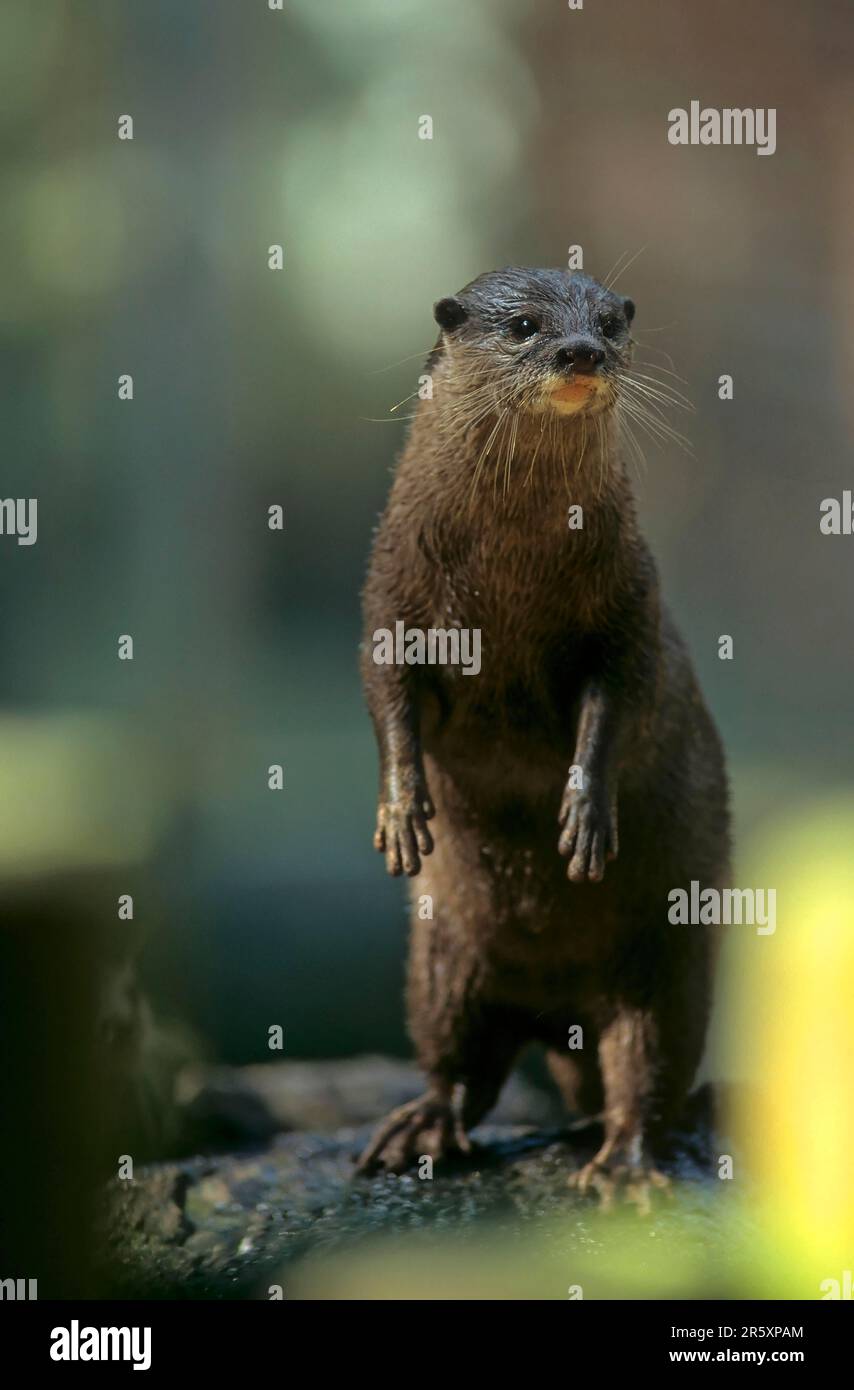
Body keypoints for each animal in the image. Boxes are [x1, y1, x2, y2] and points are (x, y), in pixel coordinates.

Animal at [357, 268, 730, 1203]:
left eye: (609, 322)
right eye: (525, 325)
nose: (581, 352)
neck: (505, 580)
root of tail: (558, 1015)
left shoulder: (628, 607)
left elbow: (617, 702)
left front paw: (584, 815)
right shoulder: (391, 592)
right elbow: (387, 697)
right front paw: (402, 811)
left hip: (667, 965)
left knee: (648, 1071)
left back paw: (625, 1165)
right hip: (441, 959)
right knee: (459, 1062)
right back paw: (420, 1127)